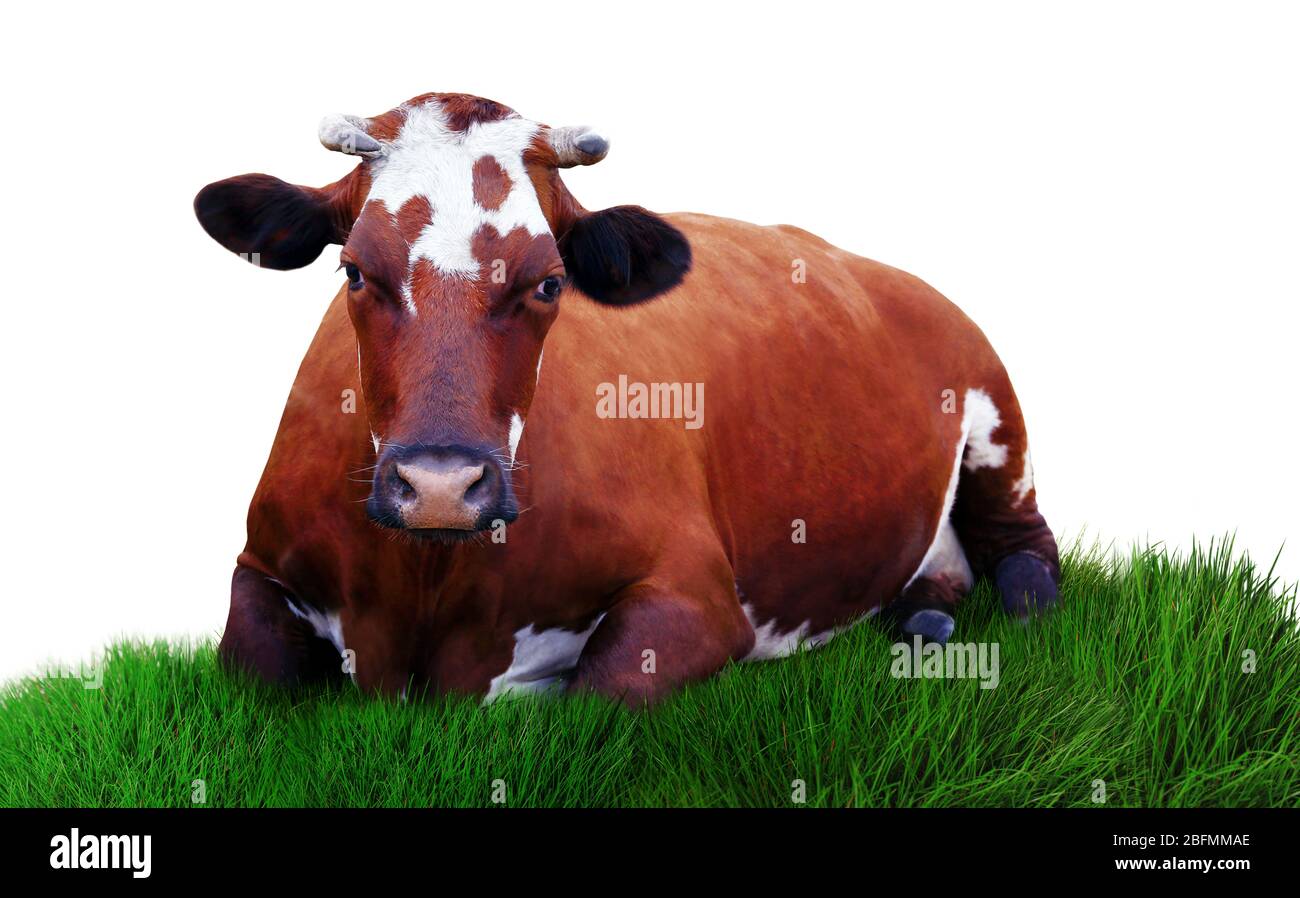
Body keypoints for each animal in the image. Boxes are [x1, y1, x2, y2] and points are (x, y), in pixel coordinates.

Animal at [194, 92, 1060, 705]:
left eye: (549, 282)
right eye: (354, 270)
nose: (440, 486)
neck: (424, 589)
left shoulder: (700, 594)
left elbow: (601, 692)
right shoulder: (258, 561)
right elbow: (251, 664)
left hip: (998, 419)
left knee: (1026, 552)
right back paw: (922, 613)